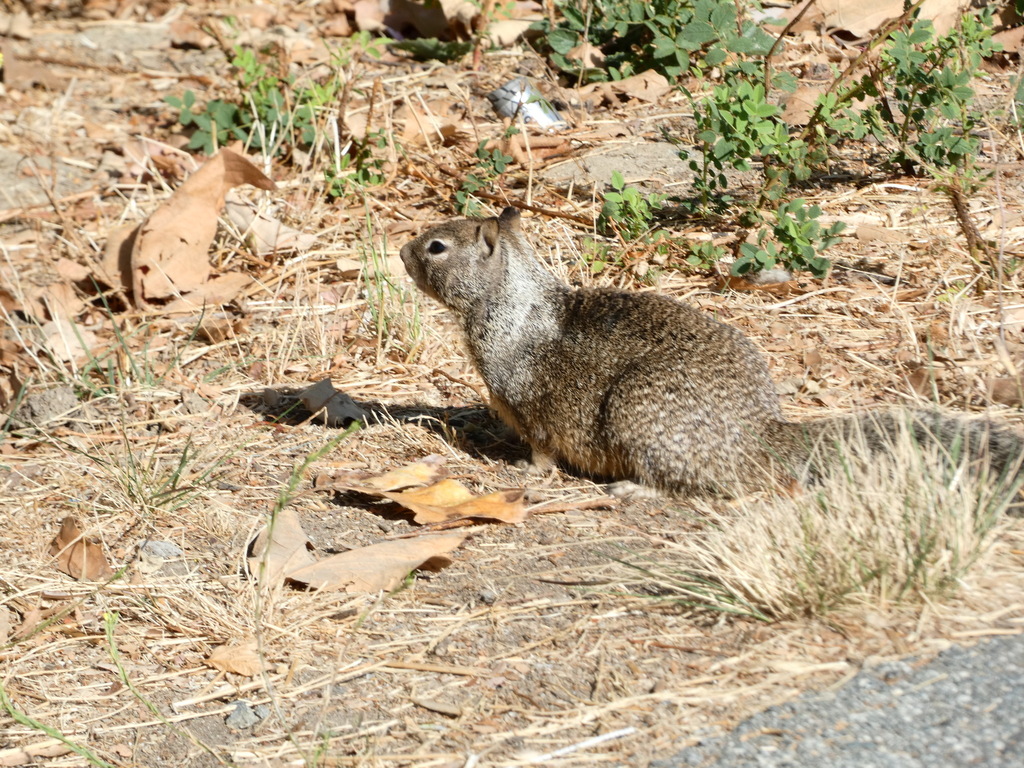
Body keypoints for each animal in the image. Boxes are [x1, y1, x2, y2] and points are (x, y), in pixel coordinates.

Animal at [399, 206, 1024, 500]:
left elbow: (543, 451)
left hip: (638, 412)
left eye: (437, 247)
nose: (402, 253)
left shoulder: (534, 407)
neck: (511, 303)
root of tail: (762, 438)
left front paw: (522, 472)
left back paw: (631, 488)